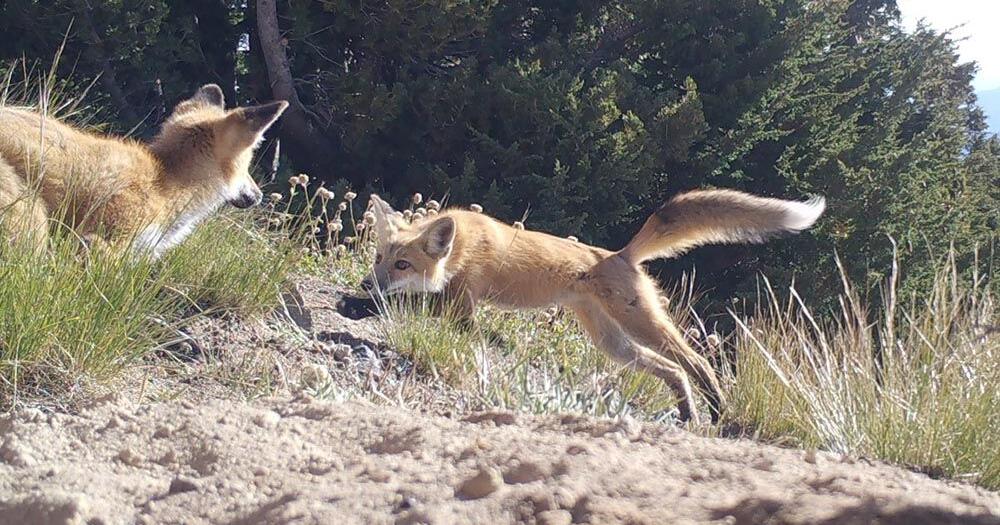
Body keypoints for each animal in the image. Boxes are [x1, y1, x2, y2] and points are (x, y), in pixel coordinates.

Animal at [363, 190, 825, 425]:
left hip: (640, 325)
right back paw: (688, 412)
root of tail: (621, 254)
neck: (463, 247)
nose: (368, 283)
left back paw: (717, 410)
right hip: (613, 342)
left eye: (403, 265)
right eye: (379, 258)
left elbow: (423, 311)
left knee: (697, 362)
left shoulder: (461, 305)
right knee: (673, 371)